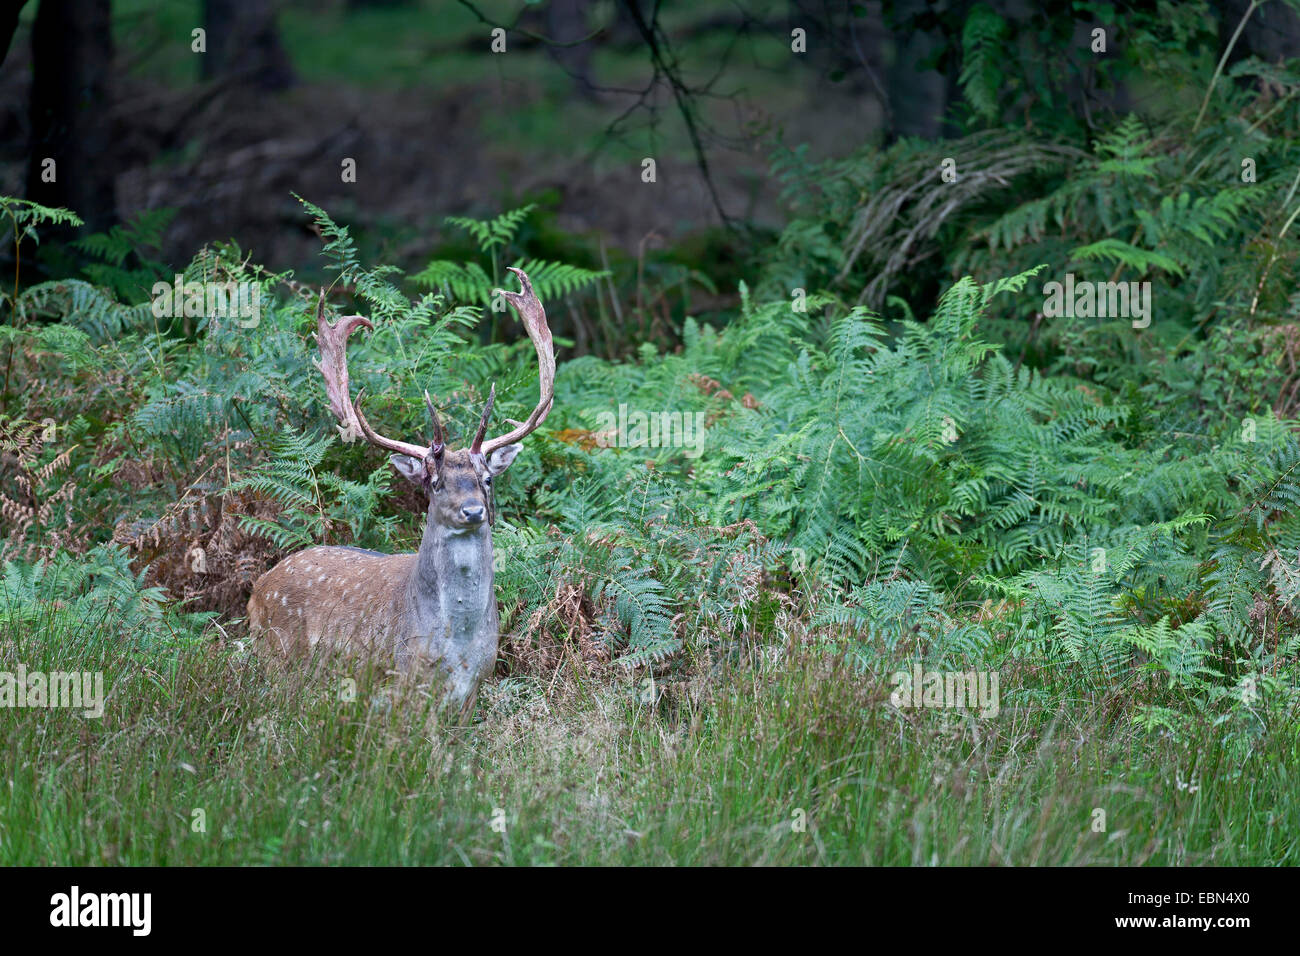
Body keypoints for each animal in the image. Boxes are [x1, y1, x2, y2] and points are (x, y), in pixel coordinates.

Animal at [246, 267, 554, 718]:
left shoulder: (476, 686)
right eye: (434, 481)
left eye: (487, 479)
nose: (473, 511)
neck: (457, 651)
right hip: (275, 657)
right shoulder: (401, 682)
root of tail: (256, 588)